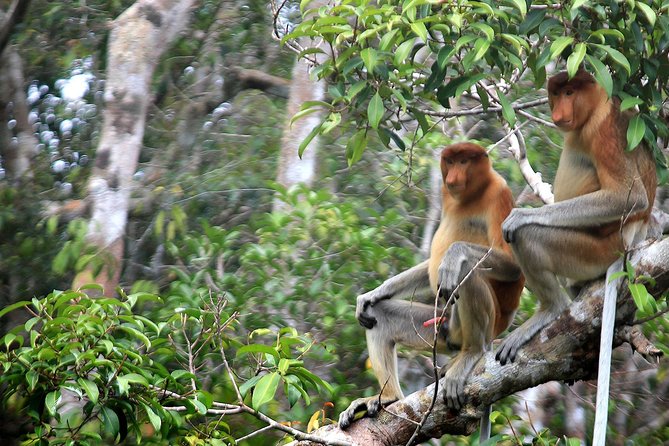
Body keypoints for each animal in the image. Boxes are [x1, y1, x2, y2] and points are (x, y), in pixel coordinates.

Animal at [338, 142, 525, 431]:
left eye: (464, 161)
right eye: (451, 161)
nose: (453, 176)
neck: (472, 194)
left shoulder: (499, 193)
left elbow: (513, 264)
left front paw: (452, 256)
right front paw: (372, 295)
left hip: (487, 323)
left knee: (467, 272)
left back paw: (471, 352)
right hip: (441, 325)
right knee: (380, 317)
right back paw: (388, 398)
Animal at [496, 70, 657, 444]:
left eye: (570, 92)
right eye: (557, 94)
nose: (559, 110)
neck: (596, 106)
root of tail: (632, 241)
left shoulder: (604, 132)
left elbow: (628, 197)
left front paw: (520, 216)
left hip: (592, 250)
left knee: (532, 238)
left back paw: (549, 310)